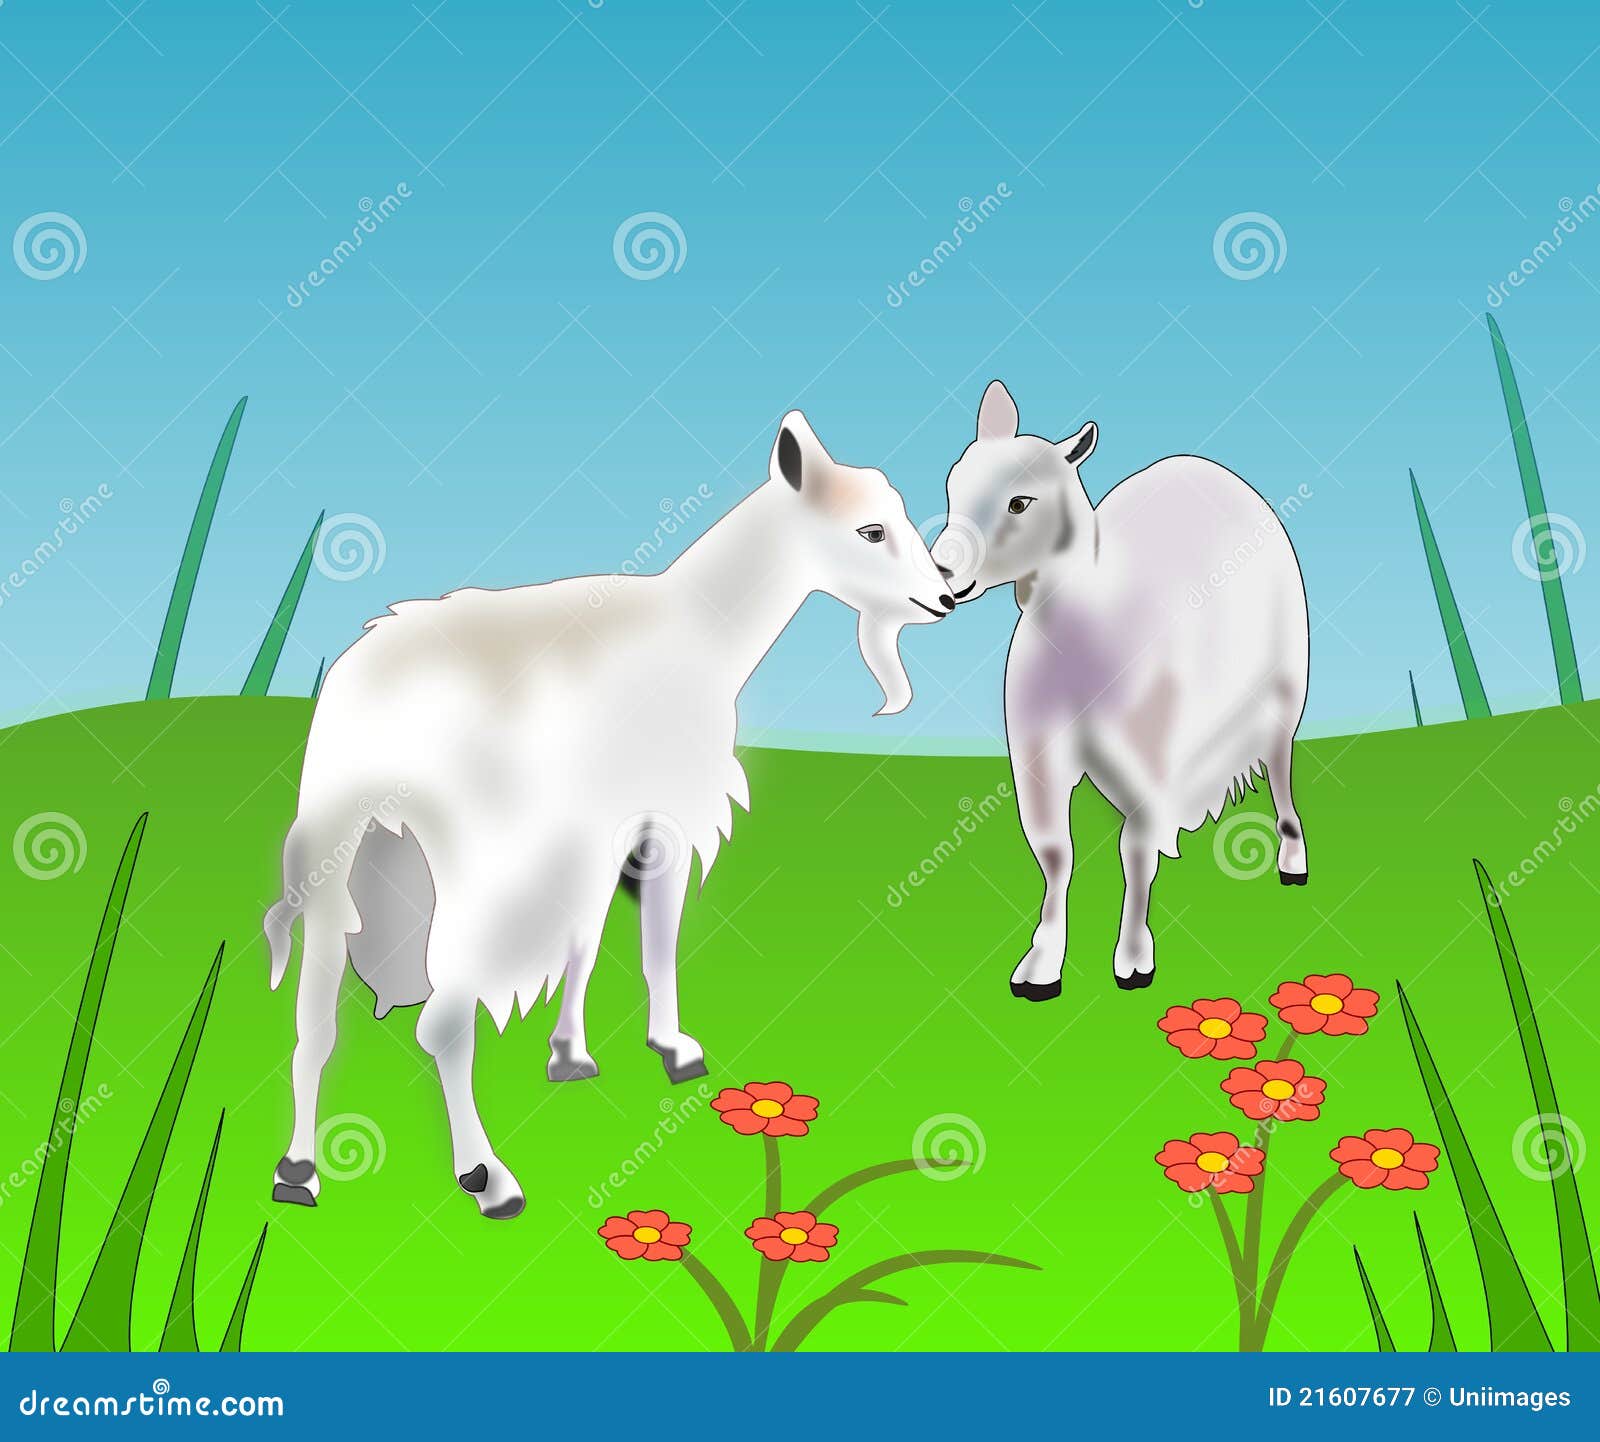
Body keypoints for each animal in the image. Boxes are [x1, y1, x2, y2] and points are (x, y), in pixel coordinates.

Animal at [264, 412, 950, 1218]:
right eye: (871, 531)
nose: (946, 597)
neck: (704, 627)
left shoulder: (595, 830)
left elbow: (584, 941)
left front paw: (570, 1053)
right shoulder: (665, 815)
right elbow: (655, 939)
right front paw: (676, 1050)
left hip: (340, 846)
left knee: (314, 1023)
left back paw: (296, 1170)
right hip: (473, 874)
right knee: (444, 1025)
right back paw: (487, 1177)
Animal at [933, 380, 1309, 997]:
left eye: (1020, 502)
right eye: (955, 482)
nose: (943, 572)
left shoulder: (1151, 764)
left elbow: (1134, 853)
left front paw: (1134, 958)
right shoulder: (1037, 758)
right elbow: (1055, 854)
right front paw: (1041, 964)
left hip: (1282, 692)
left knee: (1278, 769)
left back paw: (1292, 857)